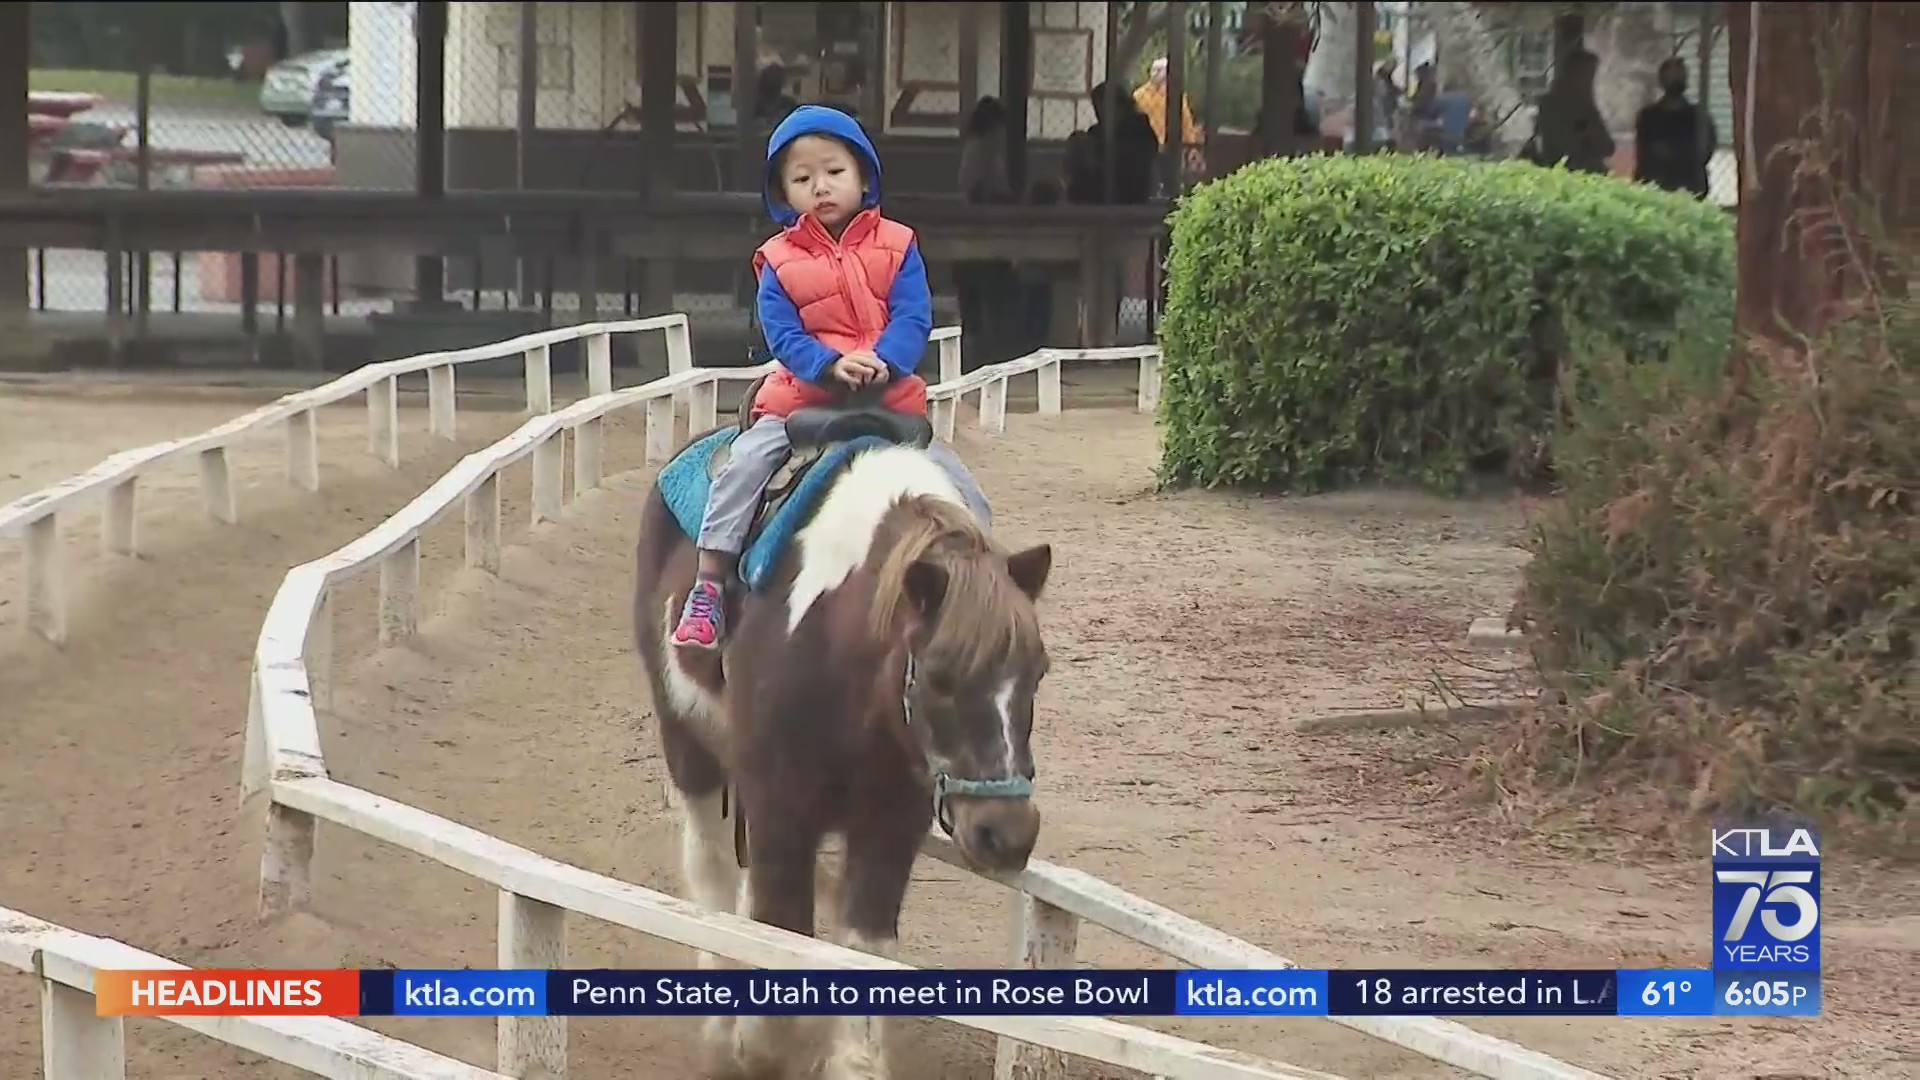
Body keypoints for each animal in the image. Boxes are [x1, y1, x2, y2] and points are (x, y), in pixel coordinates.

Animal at [631, 378, 1054, 1080]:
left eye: (1038, 672)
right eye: (939, 675)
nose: (1006, 834)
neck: (835, 635)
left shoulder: (889, 824)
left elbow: (860, 955)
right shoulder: (781, 812)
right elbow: (777, 962)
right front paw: (747, 1047)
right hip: (690, 747)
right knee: (711, 872)